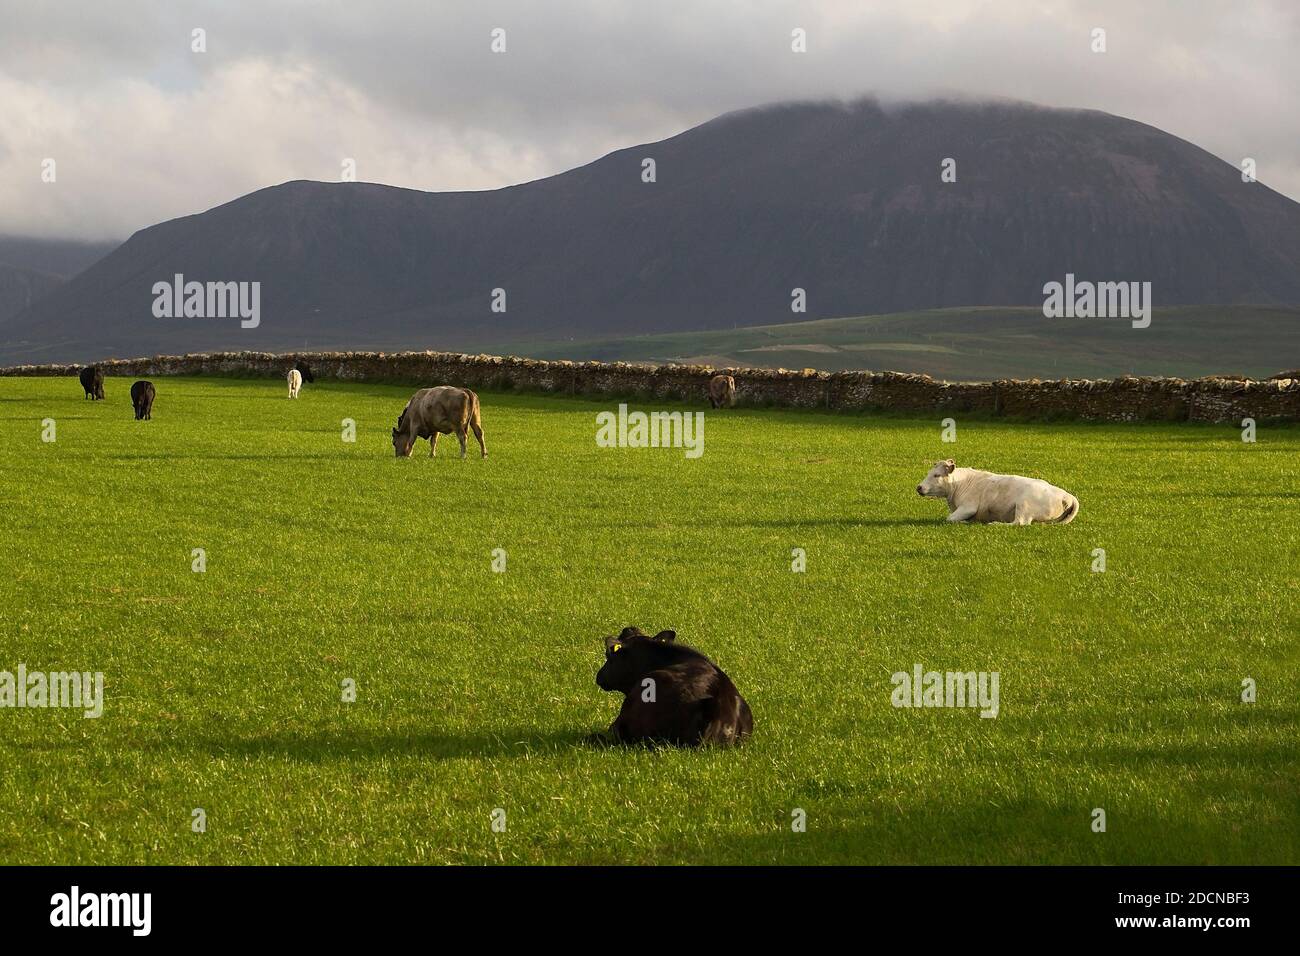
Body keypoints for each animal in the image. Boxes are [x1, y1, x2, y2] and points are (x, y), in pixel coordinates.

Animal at [916, 459, 1079, 525]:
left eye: (936, 475)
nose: (919, 487)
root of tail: (1067, 495)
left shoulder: (968, 507)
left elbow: (949, 519)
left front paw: (965, 521)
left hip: (1024, 506)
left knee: (1020, 523)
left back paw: (995, 523)